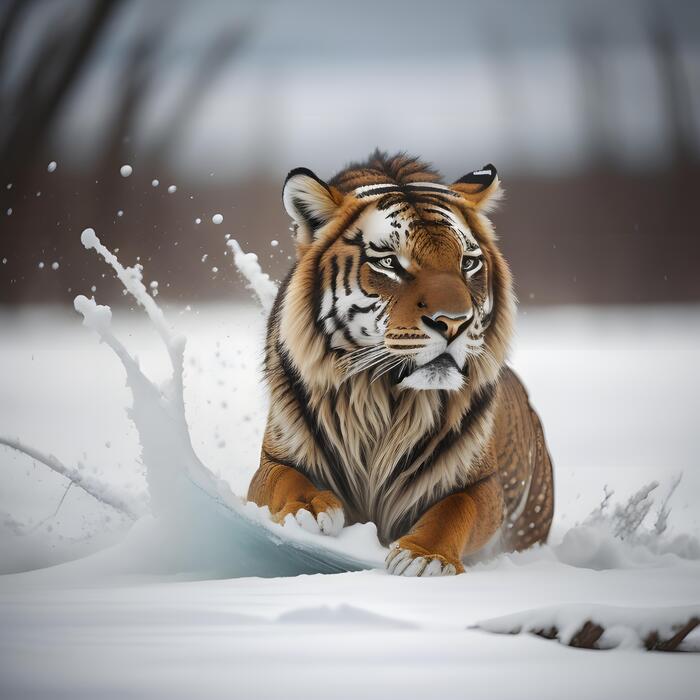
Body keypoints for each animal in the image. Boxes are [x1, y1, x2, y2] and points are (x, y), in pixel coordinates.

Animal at [247, 150, 553, 576]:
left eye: (467, 263)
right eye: (391, 262)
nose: (454, 323)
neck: (385, 397)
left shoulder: (483, 484)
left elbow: (457, 508)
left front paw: (423, 557)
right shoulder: (274, 459)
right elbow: (284, 480)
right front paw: (308, 511)